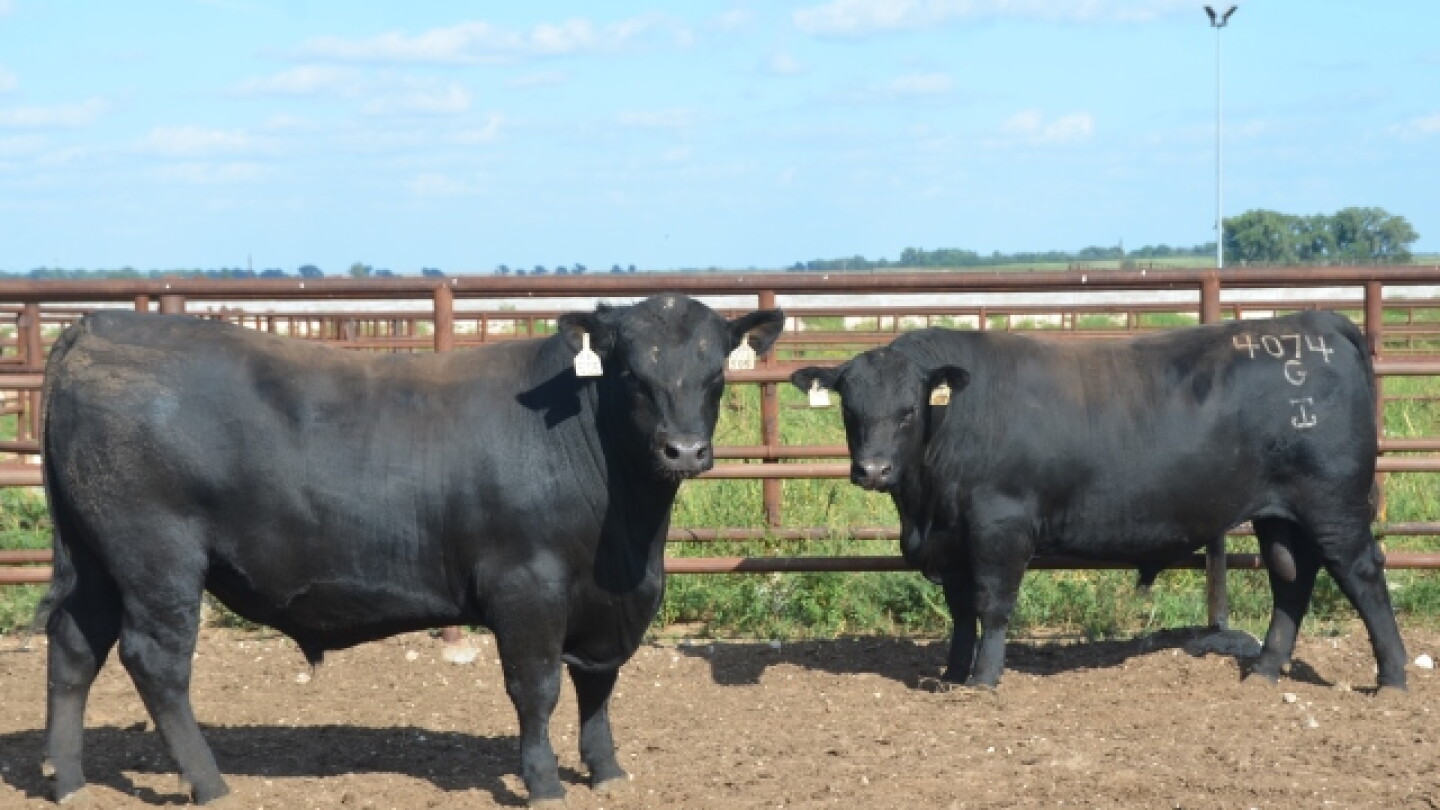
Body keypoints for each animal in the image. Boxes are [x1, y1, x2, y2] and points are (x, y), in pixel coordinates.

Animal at [33, 295, 784, 806]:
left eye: (716, 373)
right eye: (631, 373)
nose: (683, 450)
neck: (630, 538)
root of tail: (97, 327)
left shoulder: (608, 604)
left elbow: (597, 684)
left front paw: (606, 770)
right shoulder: (527, 587)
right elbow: (537, 687)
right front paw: (544, 782)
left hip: (97, 560)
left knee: (74, 645)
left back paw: (68, 779)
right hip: (157, 557)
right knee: (155, 660)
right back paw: (210, 782)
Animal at [791, 311, 1407, 692]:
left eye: (908, 411)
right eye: (850, 409)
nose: (873, 469)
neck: (923, 505)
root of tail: (1315, 322)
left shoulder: (999, 527)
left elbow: (992, 606)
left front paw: (984, 681)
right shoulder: (953, 539)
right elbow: (962, 612)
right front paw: (950, 677)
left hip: (1333, 505)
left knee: (1362, 575)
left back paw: (1392, 677)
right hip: (1279, 514)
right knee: (1291, 578)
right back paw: (1264, 670)